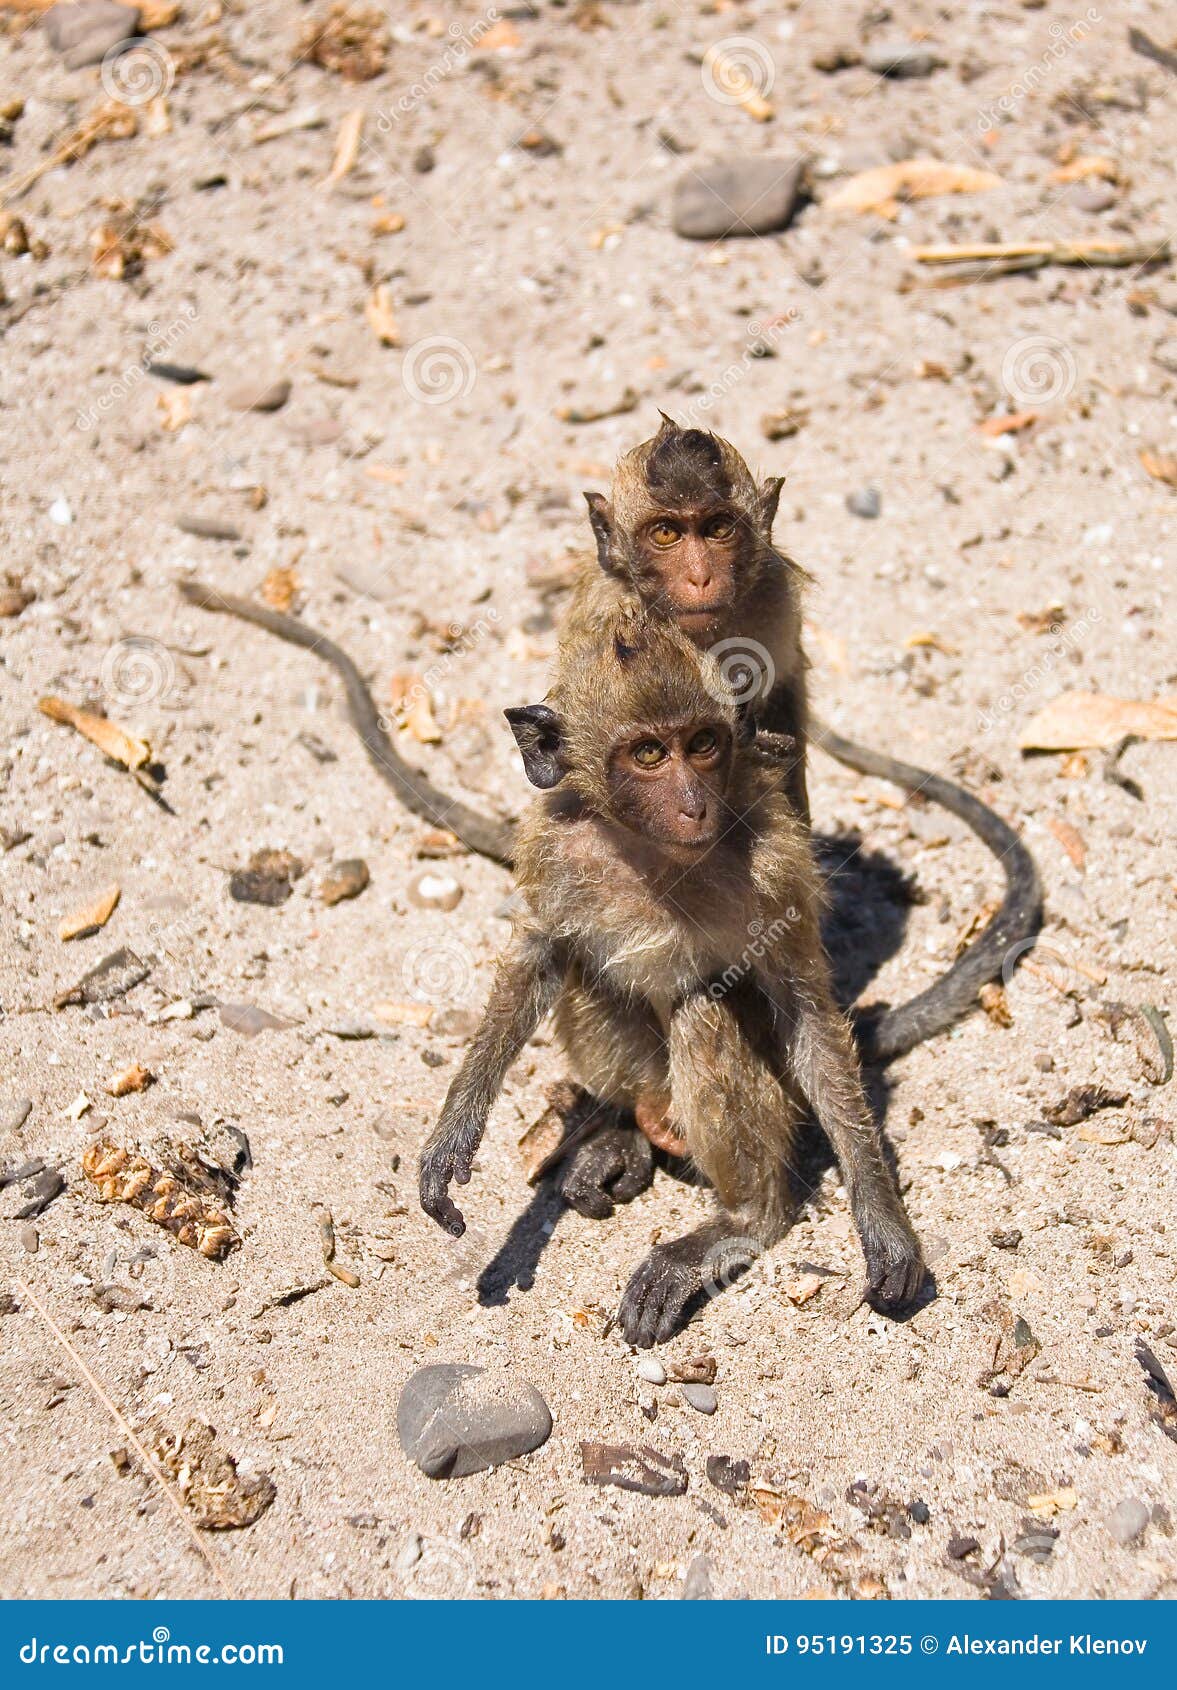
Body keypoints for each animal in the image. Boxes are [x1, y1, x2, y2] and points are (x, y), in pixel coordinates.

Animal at [418, 620, 925, 1346]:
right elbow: (540, 956)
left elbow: (805, 1016)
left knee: (702, 1010)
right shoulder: (553, 844)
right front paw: (456, 1128)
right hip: (652, 1086)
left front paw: (883, 1223)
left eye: (704, 744)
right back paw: (620, 1132)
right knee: (588, 972)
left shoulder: (777, 866)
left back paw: (741, 1222)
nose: (692, 804)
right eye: (649, 754)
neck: (652, 851)